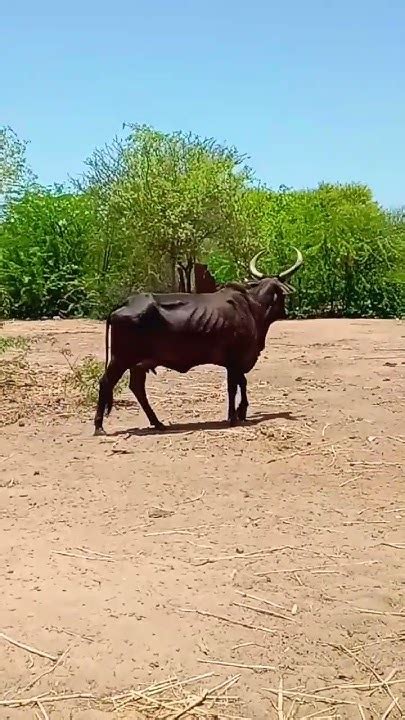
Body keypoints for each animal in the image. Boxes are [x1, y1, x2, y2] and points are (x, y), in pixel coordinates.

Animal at [93, 248, 303, 435]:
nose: (287, 312)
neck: (251, 307)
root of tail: (126, 302)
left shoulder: (236, 363)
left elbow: (240, 383)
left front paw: (240, 412)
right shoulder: (235, 361)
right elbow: (234, 387)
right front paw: (233, 417)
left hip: (139, 364)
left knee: (137, 388)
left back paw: (158, 423)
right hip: (120, 358)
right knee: (106, 382)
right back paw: (99, 426)